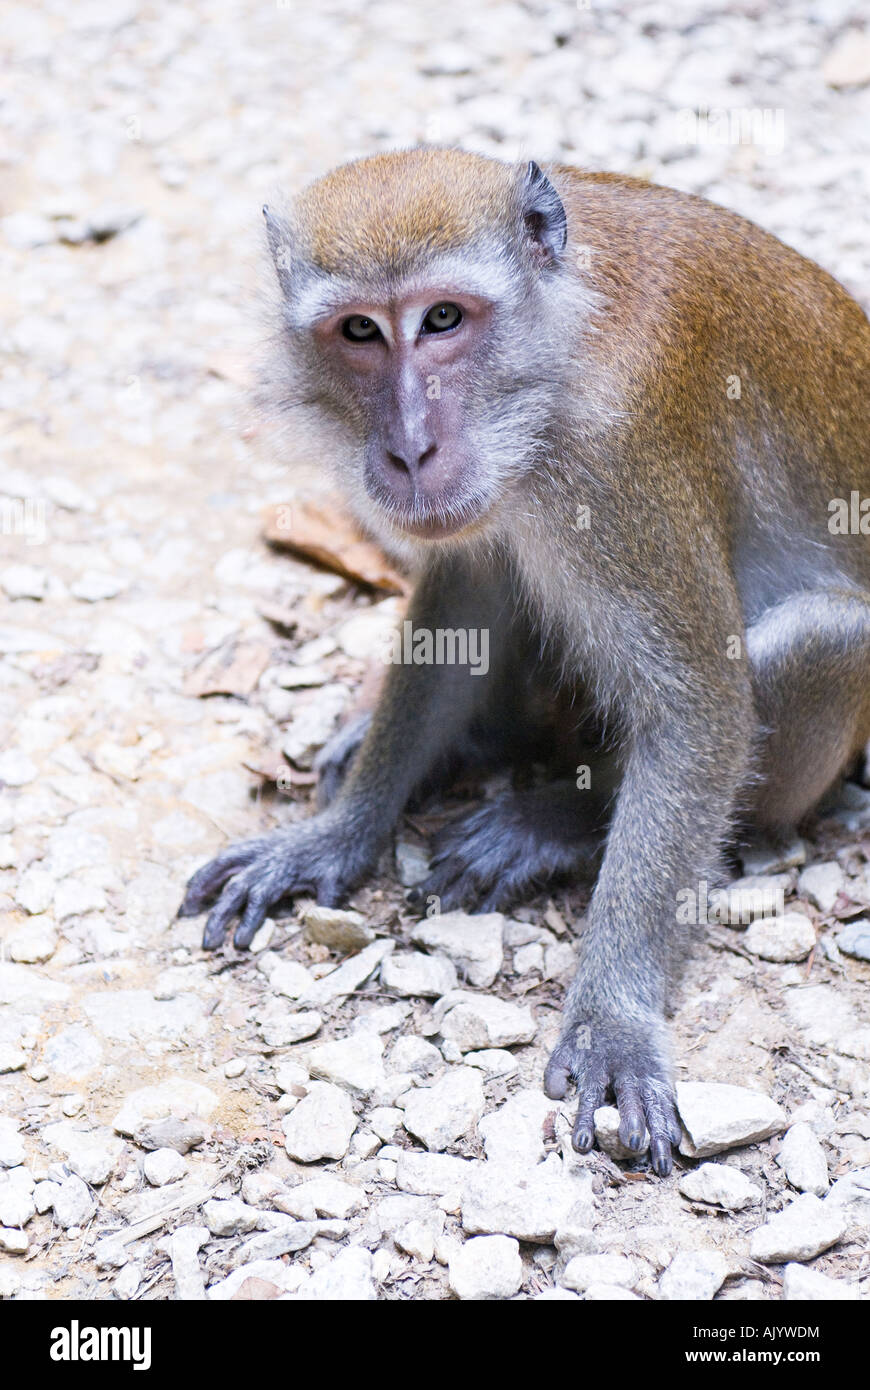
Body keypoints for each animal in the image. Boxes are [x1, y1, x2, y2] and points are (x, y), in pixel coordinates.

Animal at [180, 148, 870, 1176]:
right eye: (359, 332)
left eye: (443, 319)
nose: (410, 447)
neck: (555, 349)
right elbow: (463, 596)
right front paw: (340, 832)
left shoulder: (620, 458)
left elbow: (701, 707)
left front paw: (614, 1019)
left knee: (823, 639)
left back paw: (558, 820)